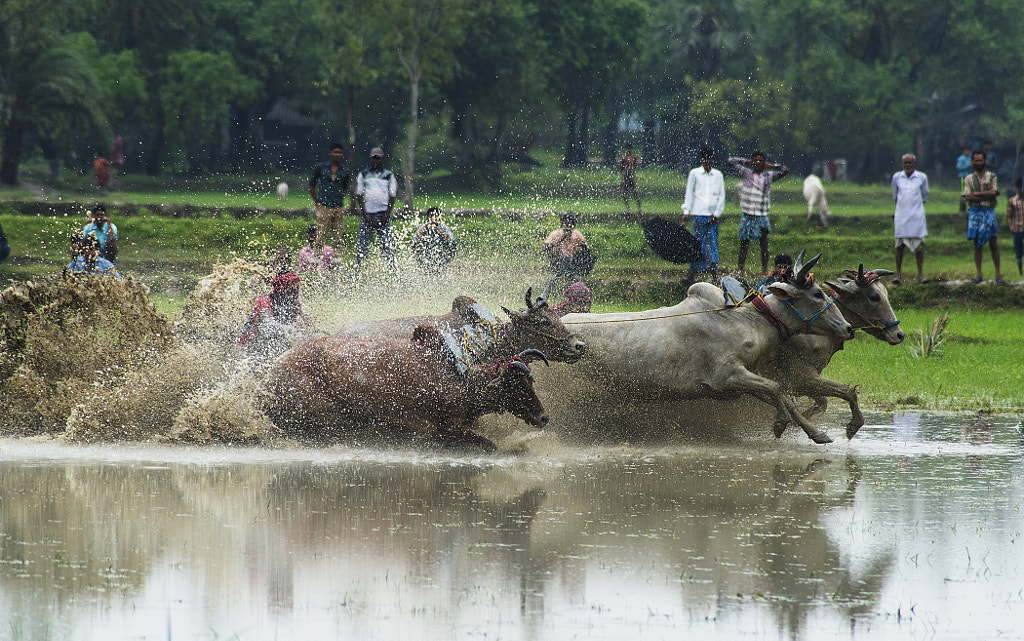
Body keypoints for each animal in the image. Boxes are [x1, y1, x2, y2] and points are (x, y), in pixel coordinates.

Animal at [264, 326, 550, 452]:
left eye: (531, 381)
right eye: (517, 385)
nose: (543, 416)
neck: (463, 381)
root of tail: (272, 373)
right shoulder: (447, 427)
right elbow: (488, 445)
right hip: (326, 416)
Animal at [560, 251, 854, 444]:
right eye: (817, 294)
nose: (848, 328)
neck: (747, 321)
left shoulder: (741, 382)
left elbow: (781, 395)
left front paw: (815, 432)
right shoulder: (727, 376)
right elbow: (776, 388)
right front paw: (782, 424)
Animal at [684, 264, 903, 439]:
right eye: (874, 297)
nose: (899, 334)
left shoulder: (803, 383)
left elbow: (822, 401)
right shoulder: (802, 379)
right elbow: (846, 392)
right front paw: (852, 426)